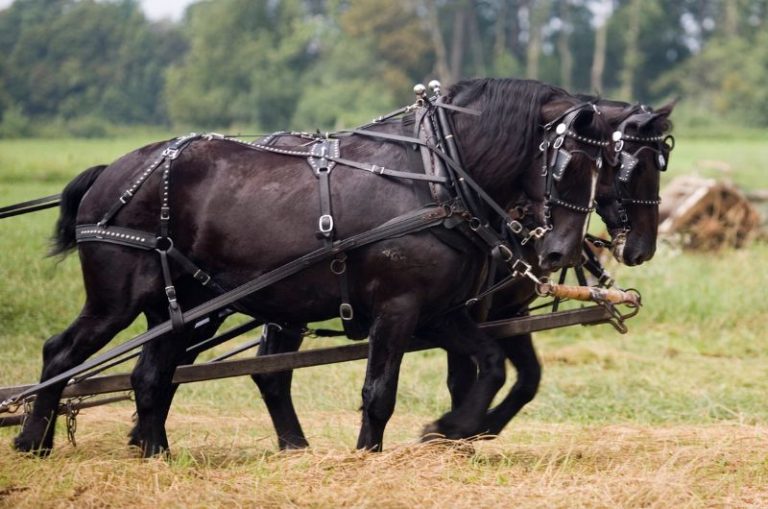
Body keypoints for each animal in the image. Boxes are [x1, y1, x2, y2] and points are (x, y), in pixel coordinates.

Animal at [14, 78, 611, 457]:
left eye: (603, 166)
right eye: (566, 163)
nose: (560, 252)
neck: (438, 175)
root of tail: (110, 171)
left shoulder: (442, 312)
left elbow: (489, 364)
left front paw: (452, 429)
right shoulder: (398, 309)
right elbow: (380, 392)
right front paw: (371, 454)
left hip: (180, 308)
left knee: (150, 374)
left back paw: (156, 452)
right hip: (117, 300)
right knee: (62, 353)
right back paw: (32, 440)